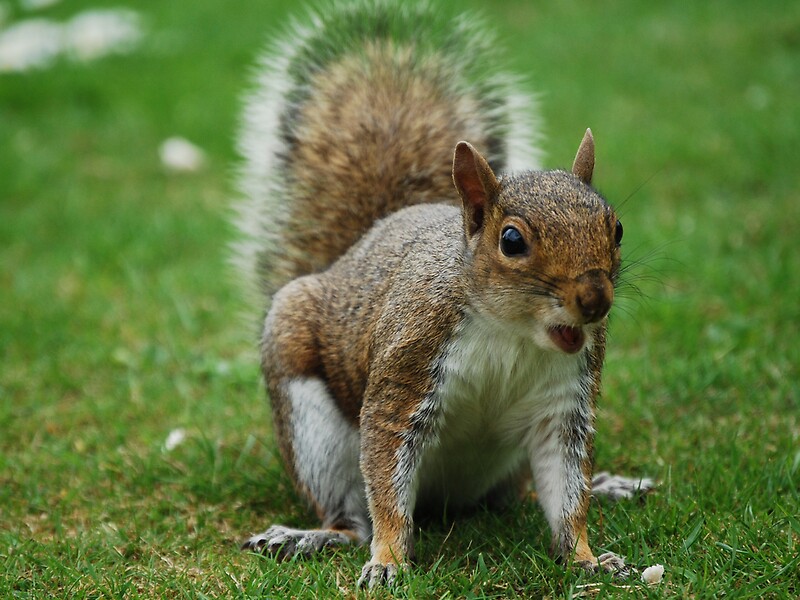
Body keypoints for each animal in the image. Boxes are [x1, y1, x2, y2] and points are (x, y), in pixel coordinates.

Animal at [235, 0, 644, 589]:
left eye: (616, 228)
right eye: (512, 240)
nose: (595, 301)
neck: (513, 332)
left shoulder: (564, 400)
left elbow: (568, 490)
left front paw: (588, 557)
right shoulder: (407, 367)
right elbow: (386, 473)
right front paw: (387, 560)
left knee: (519, 494)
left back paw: (608, 485)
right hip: (311, 423)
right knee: (351, 515)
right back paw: (313, 535)